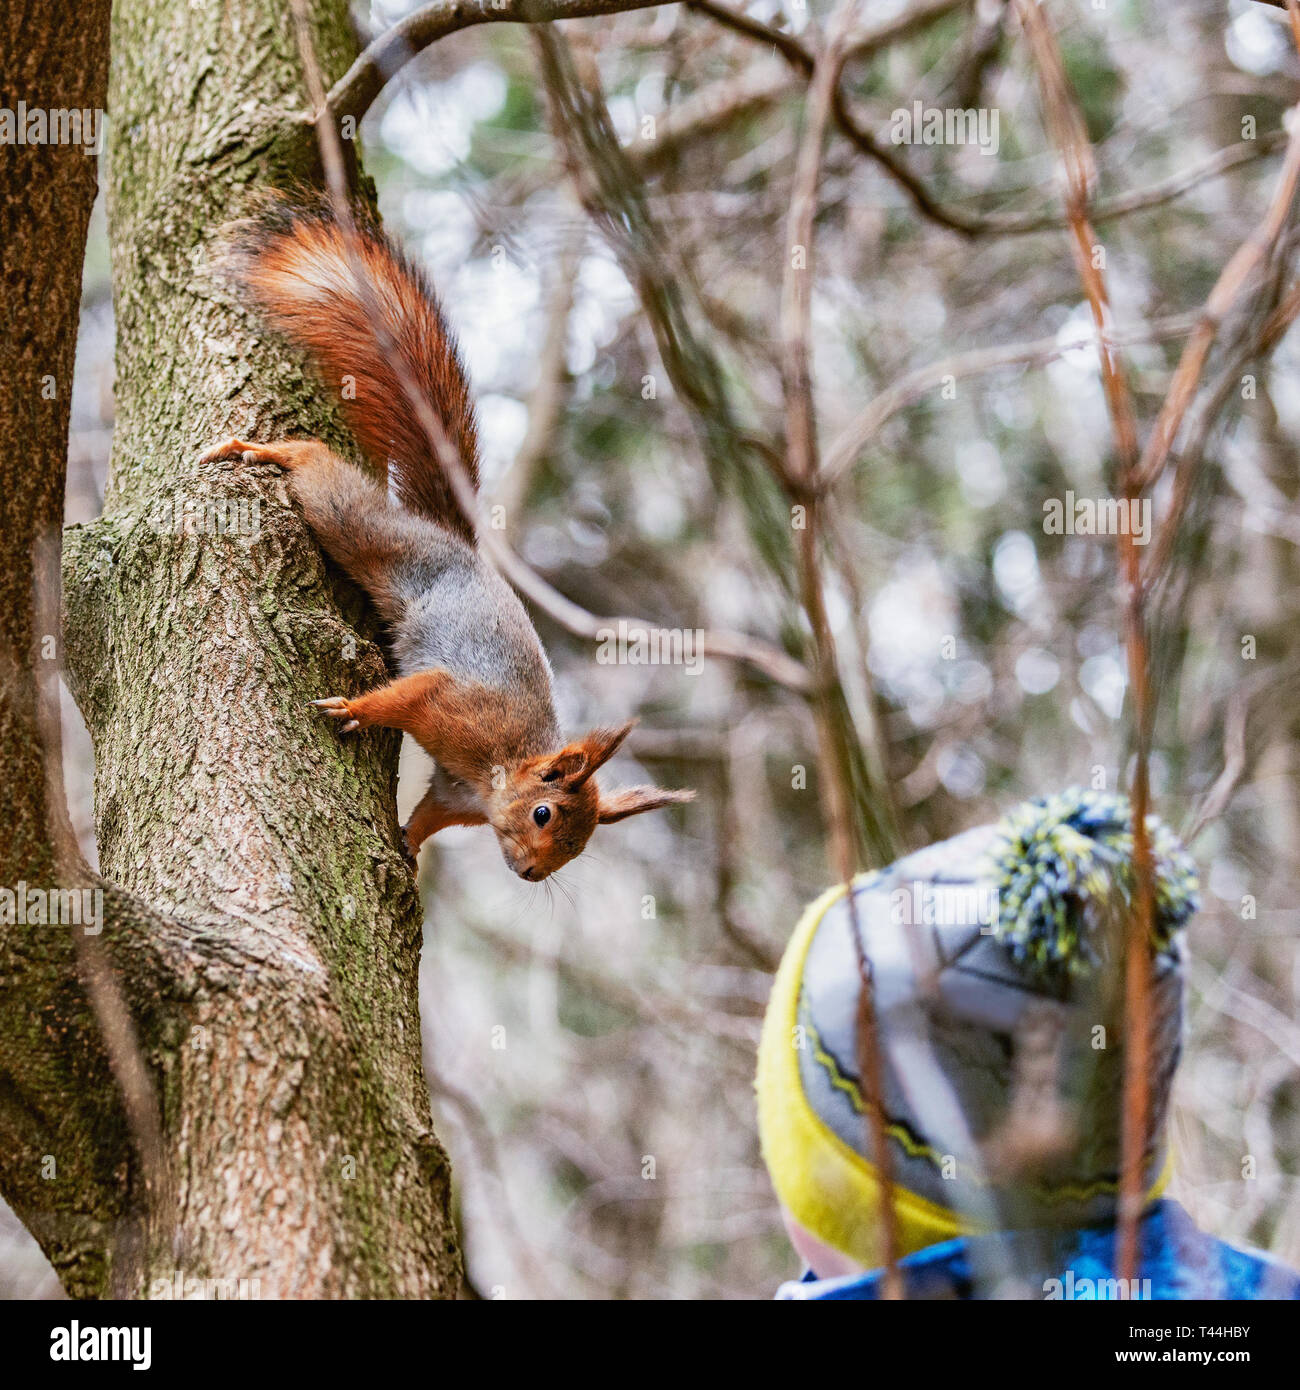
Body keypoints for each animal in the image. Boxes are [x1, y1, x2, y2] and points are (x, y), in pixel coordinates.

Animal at [201, 198, 693, 881]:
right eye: (544, 813)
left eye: (577, 848)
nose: (531, 874)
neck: (494, 776)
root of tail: (454, 540)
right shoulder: (450, 704)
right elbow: (403, 697)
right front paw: (353, 710)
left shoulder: (451, 795)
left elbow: (428, 816)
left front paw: (407, 847)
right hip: (369, 533)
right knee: (322, 473)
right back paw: (261, 449)